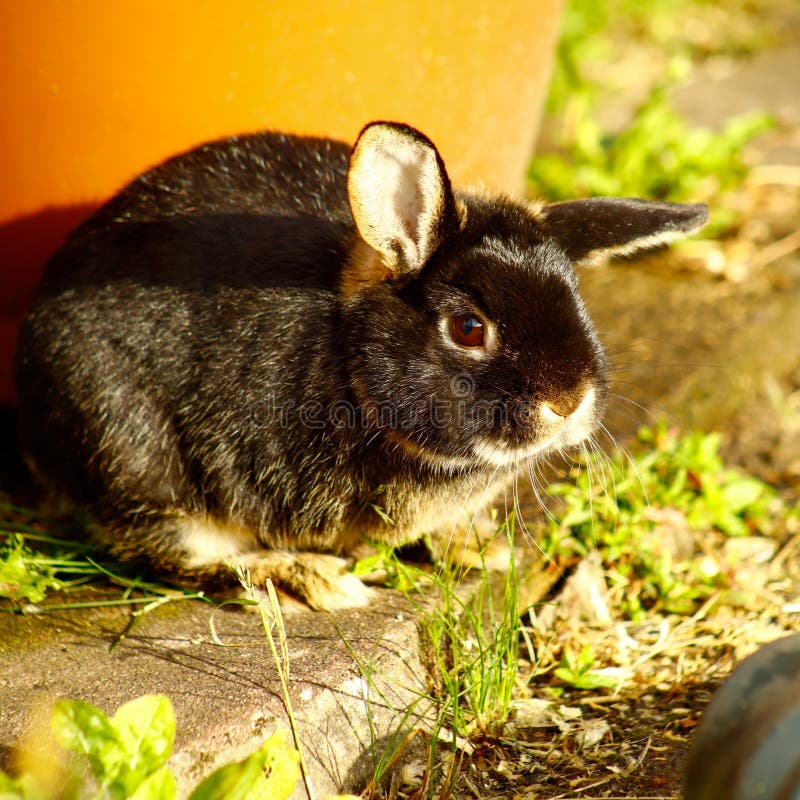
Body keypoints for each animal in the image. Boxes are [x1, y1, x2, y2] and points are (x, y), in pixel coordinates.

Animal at [13, 121, 708, 610]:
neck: (351, 364)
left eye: (576, 299)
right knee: (171, 551)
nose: (569, 399)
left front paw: (481, 550)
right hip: (132, 454)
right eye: (468, 328)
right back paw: (306, 579)